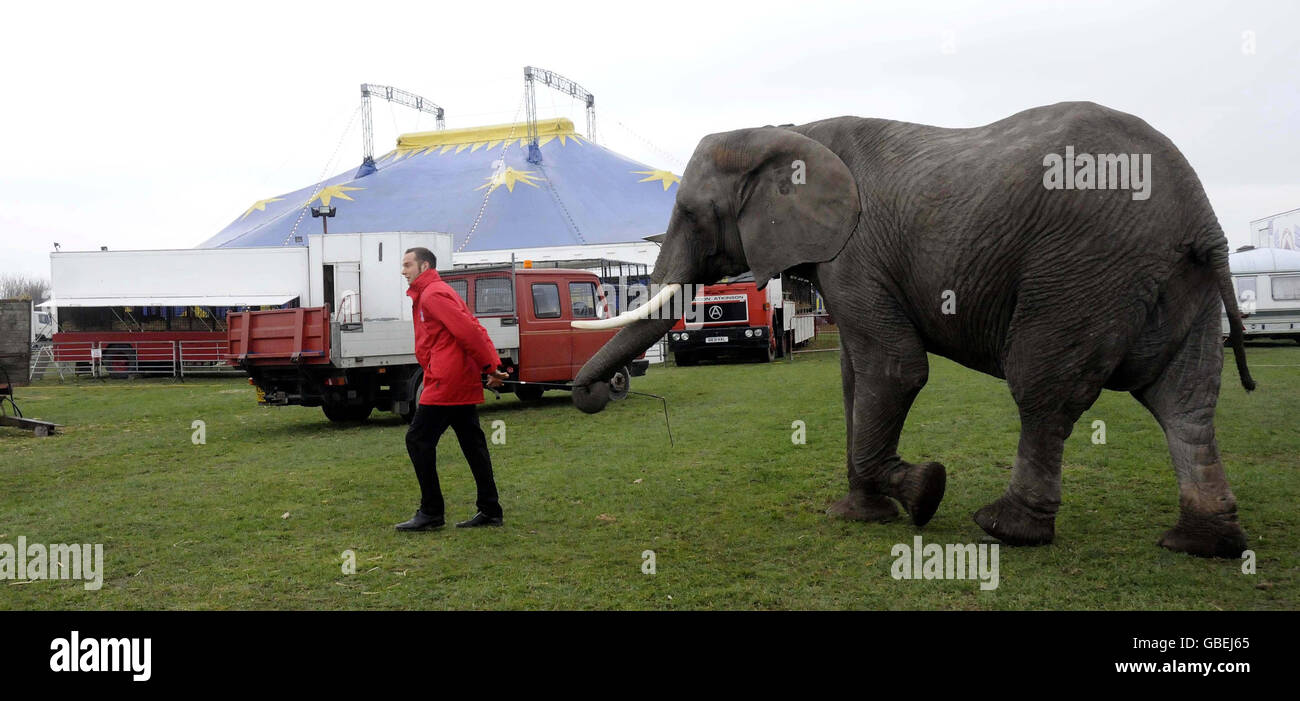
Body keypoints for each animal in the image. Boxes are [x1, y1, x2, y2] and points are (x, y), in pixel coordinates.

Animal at [571, 101, 1255, 558]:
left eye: (692, 214)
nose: (594, 394)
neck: (791, 128)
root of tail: (1201, 217)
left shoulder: (856, 250)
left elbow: (894, 369)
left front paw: (925, 491)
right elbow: (855, 376)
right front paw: (858, 515)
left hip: (1083, 269)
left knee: (1044, 390)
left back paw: (1006, 528)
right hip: (1173, 281)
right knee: (1185, 402)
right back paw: (1201, 542)